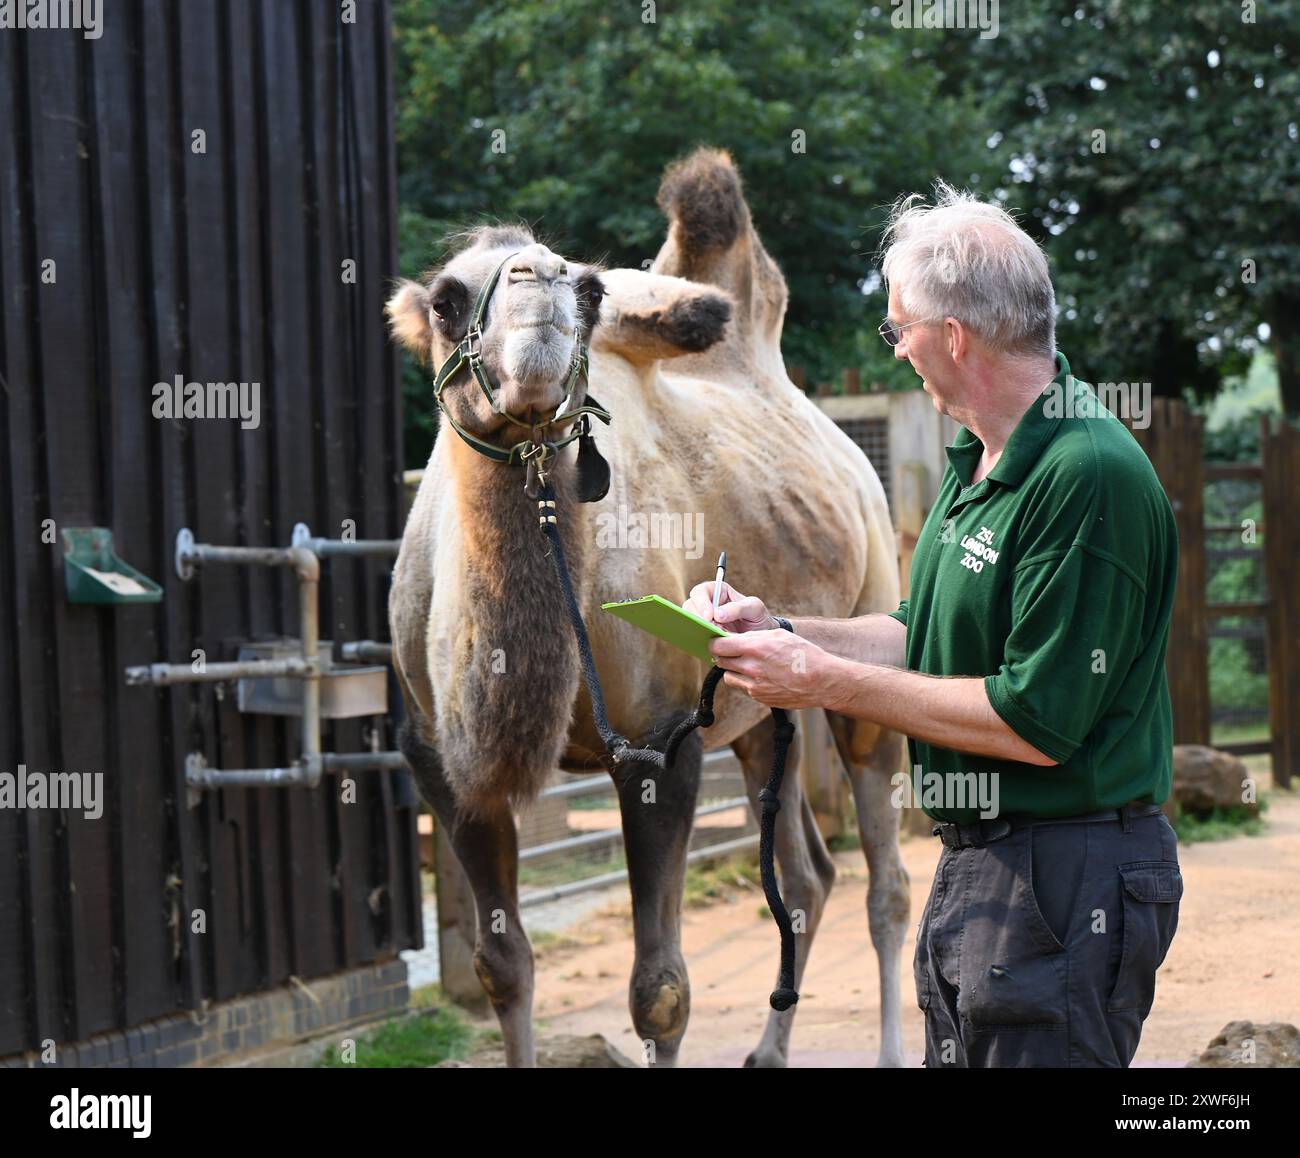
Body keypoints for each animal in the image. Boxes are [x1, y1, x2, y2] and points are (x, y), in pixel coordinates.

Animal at [386, 148, 909, 1068]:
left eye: (591, 291)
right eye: (447, 299)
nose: (541, 286)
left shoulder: (662, 741)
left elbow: (660, 991)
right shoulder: (443, 765)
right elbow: (501, 968)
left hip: (867, 627)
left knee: (886, 882)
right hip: (756, 710)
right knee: (808, 875)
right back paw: (767, 1052)